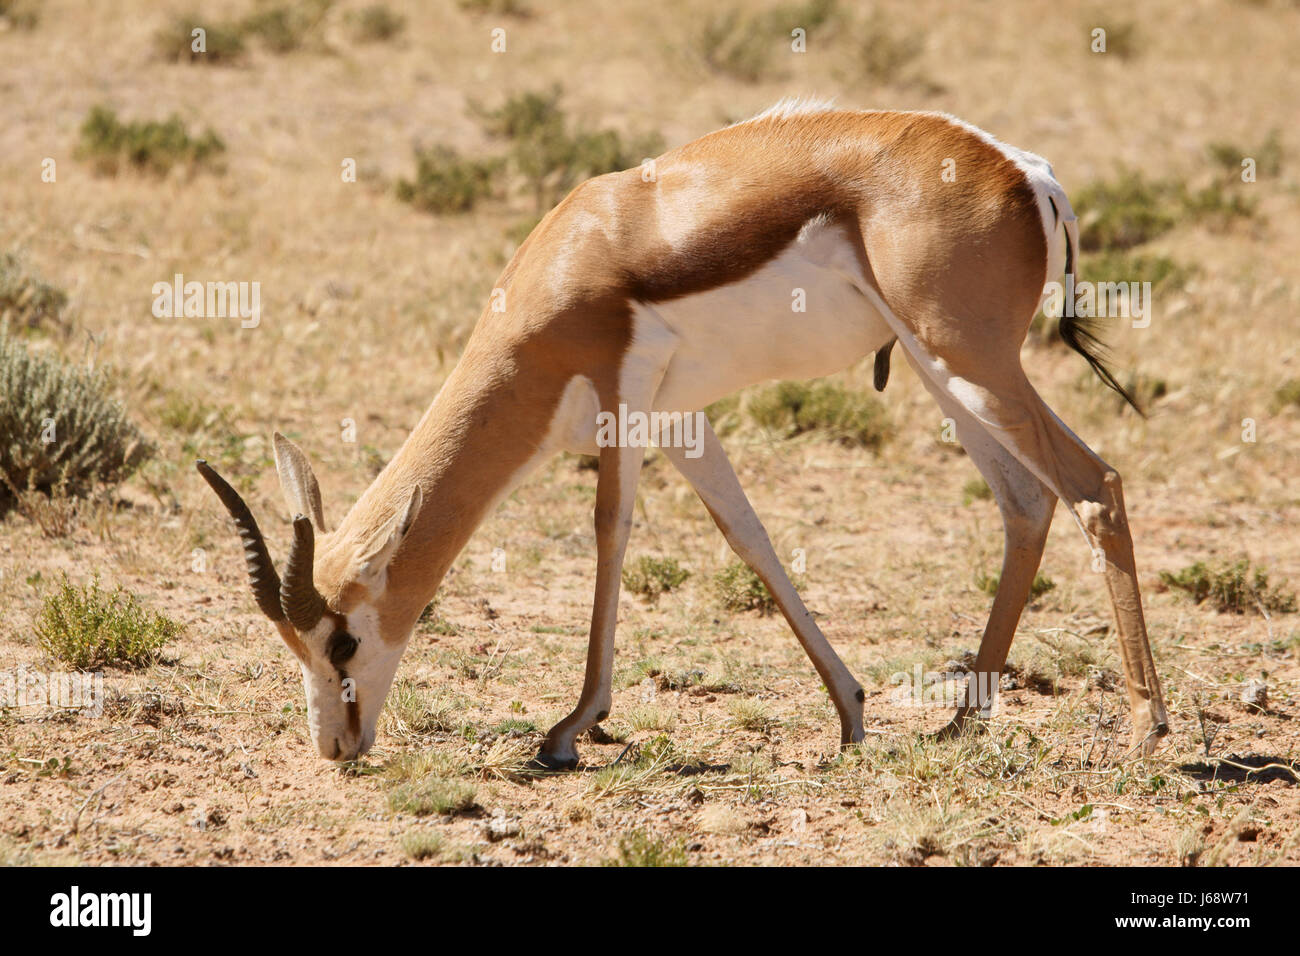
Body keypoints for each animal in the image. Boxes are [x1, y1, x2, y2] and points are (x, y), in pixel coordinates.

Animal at [198, 100, 1169, 767]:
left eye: (343, 640)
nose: (335, 745)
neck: (572, 262)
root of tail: (1023, 171)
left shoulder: (624, 398)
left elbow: (610, 533)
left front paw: (571, 728)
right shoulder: (681, 417)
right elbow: (749, 536)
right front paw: (851, 712)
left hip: (968, 362)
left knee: (1093, 487)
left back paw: (1143, 727)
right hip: (947, 374)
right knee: (1025, 503)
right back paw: (962, 718)